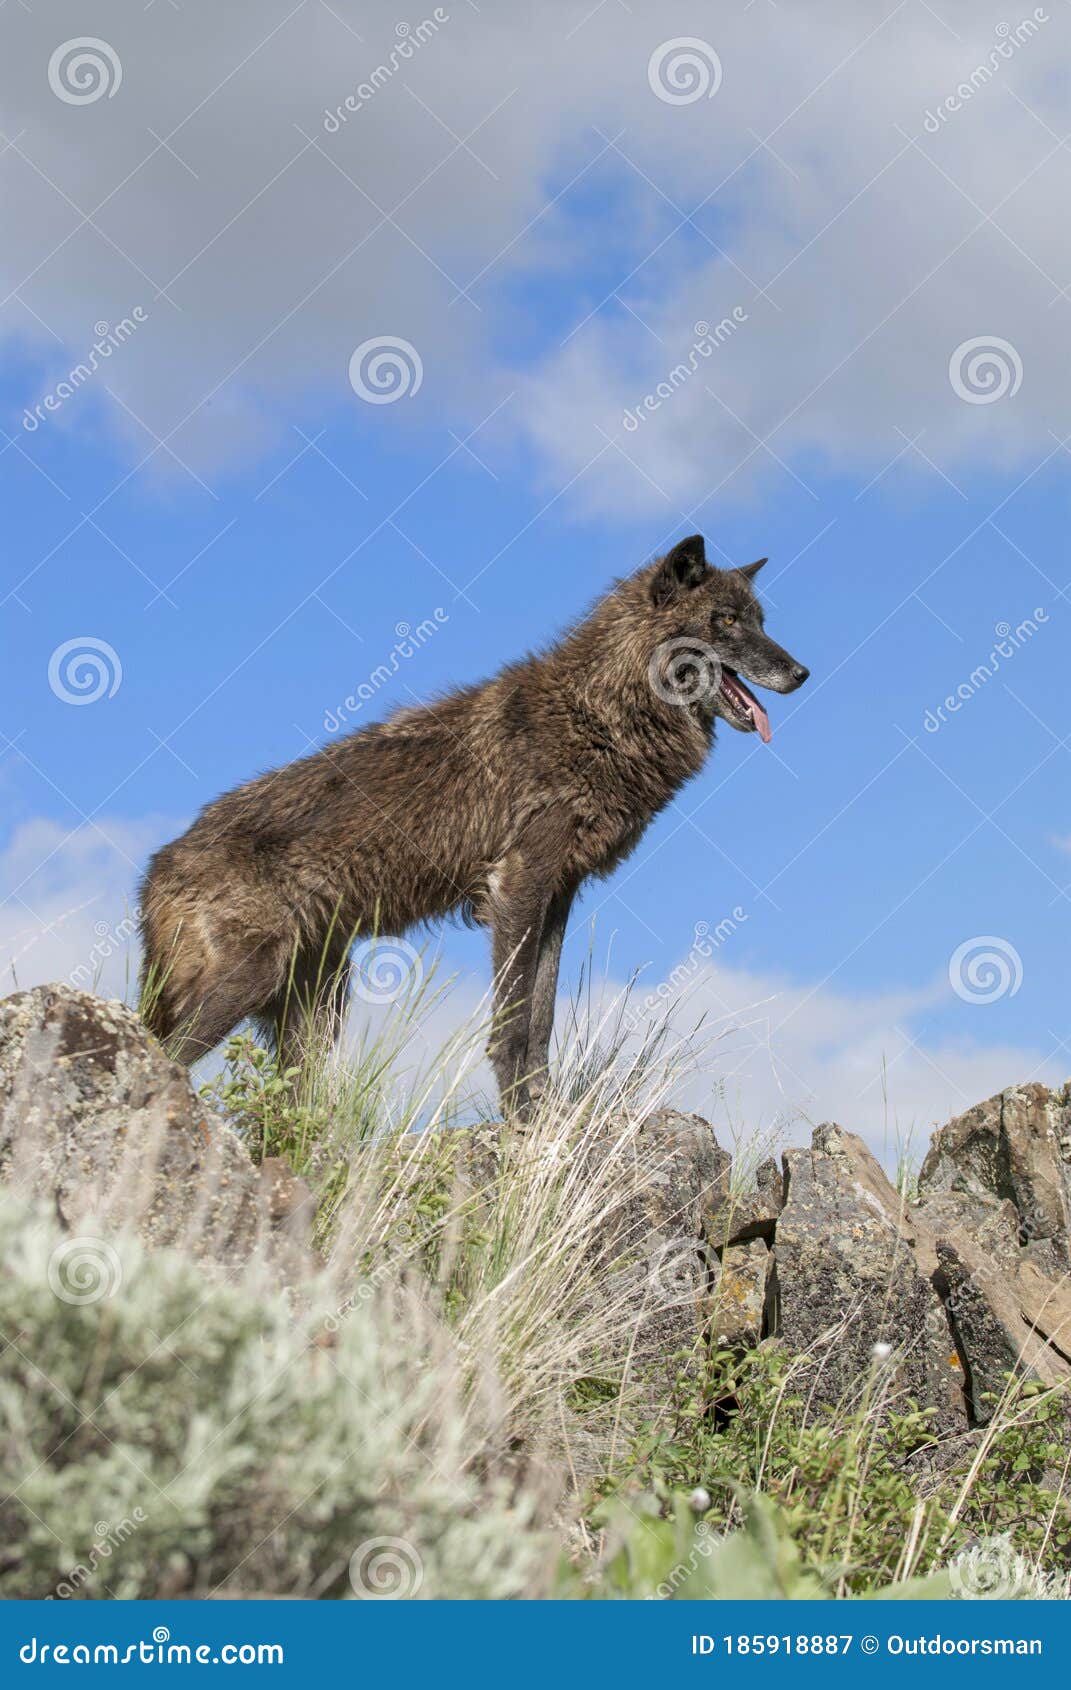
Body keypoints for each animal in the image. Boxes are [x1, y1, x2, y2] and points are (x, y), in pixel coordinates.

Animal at [139, 535, 809, 1113]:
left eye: (761, 621)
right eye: (725, 621)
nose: (801, 673)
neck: (598, 714)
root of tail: (157, 865)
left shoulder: (557, 895)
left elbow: (540, 1022)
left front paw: (545, 1115)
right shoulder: (517, 885)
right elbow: (511, 1025)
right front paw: (519, 1121)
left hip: (318, 1007)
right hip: (247, 984)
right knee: (166, 1054)